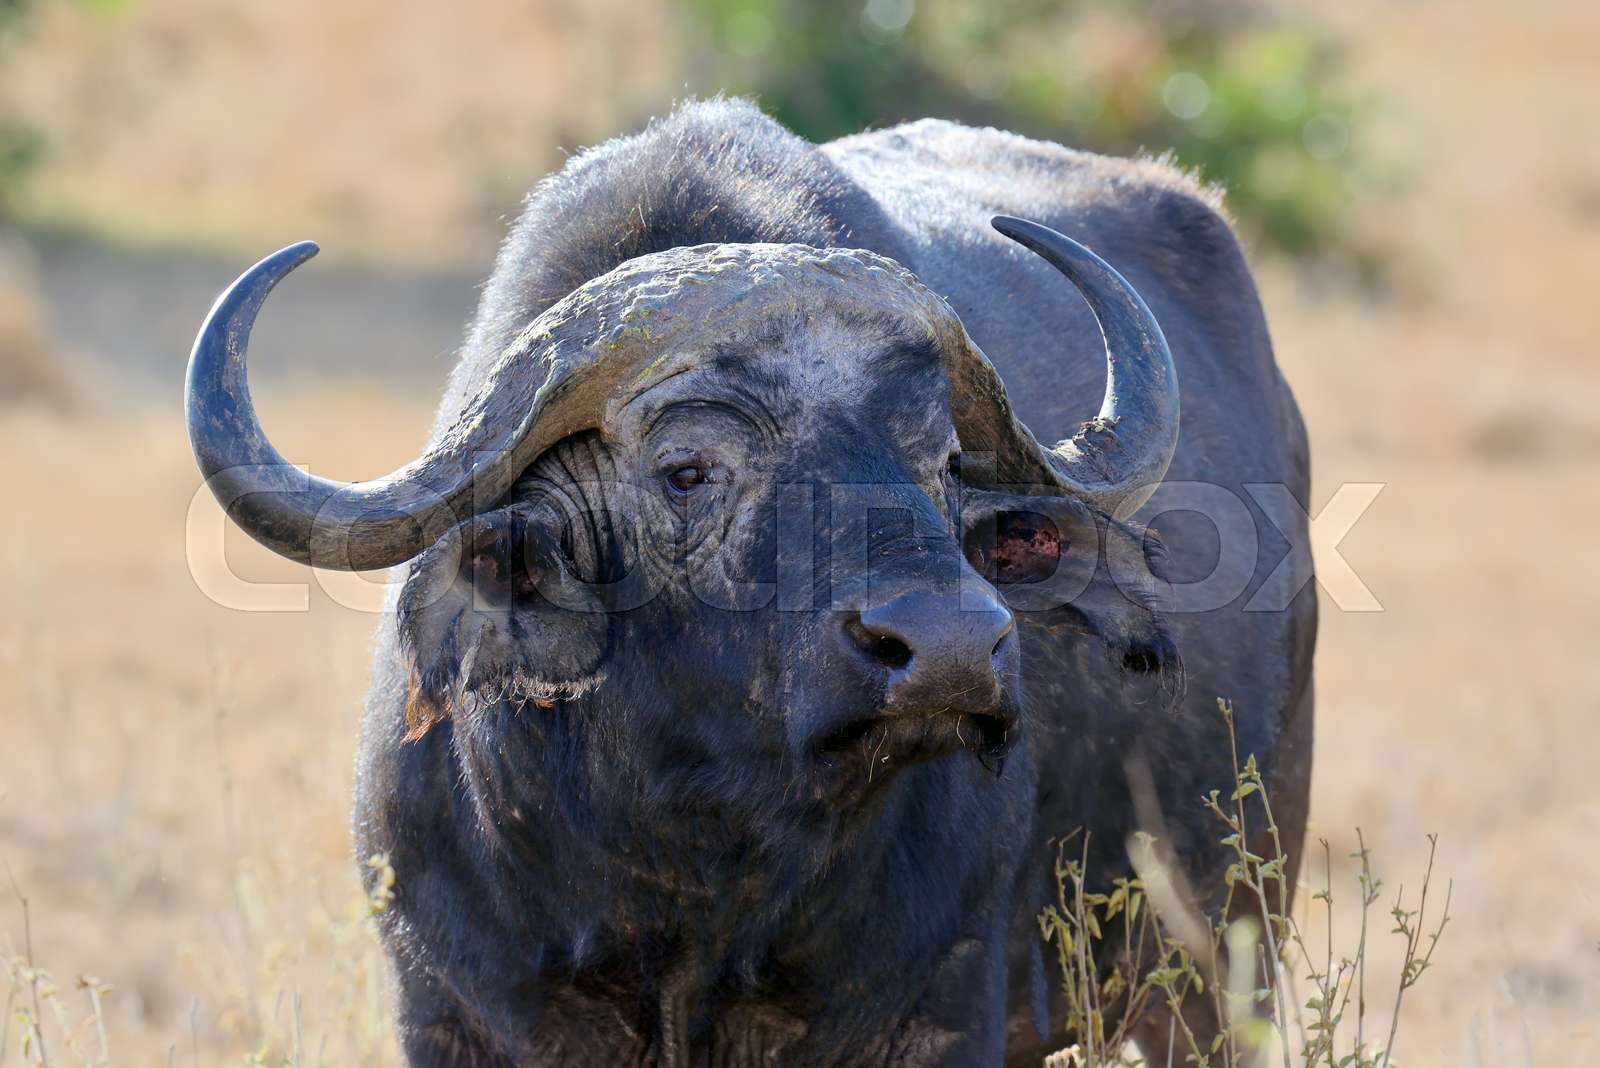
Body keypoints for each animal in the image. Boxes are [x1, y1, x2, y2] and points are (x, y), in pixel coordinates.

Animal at [185, 99, 1315, 1066]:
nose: (951, 649)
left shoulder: (941, 1011)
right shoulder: (454, 1010)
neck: (692, 870)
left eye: (947, 462)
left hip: (1226, 954)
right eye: (687, 469)